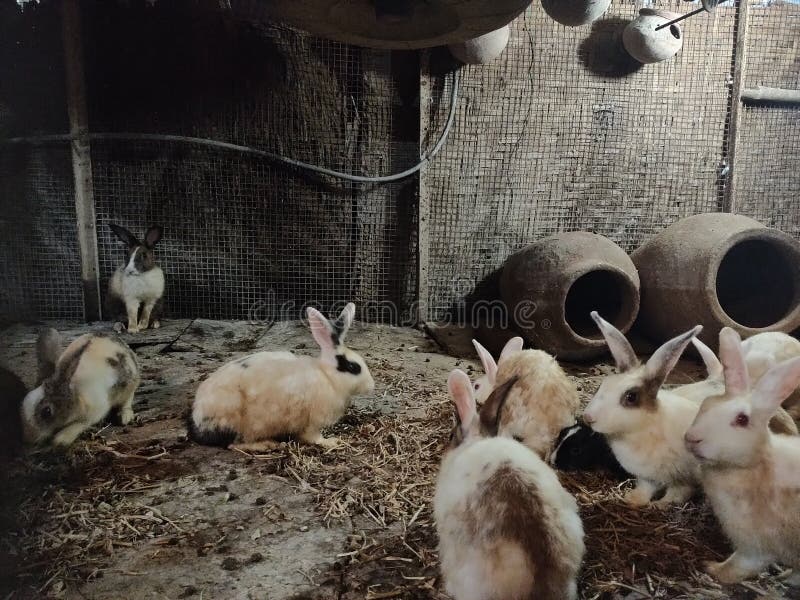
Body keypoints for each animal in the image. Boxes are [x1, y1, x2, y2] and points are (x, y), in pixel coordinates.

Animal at [189, 303, 375, 452]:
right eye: (352, 367)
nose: (371, 386)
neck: (327, 377)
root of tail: (197, 422)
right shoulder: (313, 422)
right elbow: (314, 437)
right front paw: (332, 442)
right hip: (235, 421)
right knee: (233, 444)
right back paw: (266, 445)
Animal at [583, 311, 703, 507]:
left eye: (631, 397)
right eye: (603, 384)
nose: (588, 417)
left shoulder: (683, 479)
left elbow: (678, 493)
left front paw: (660, 505)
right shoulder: (647, 477)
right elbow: (646, 489)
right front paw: (632, 500)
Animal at [684, 327, 800, 586]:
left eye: (742, 420)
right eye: (706, 404)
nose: (692, 438)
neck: (758, 467)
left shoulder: (755, 547)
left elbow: (738, 567)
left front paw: (711, 568)